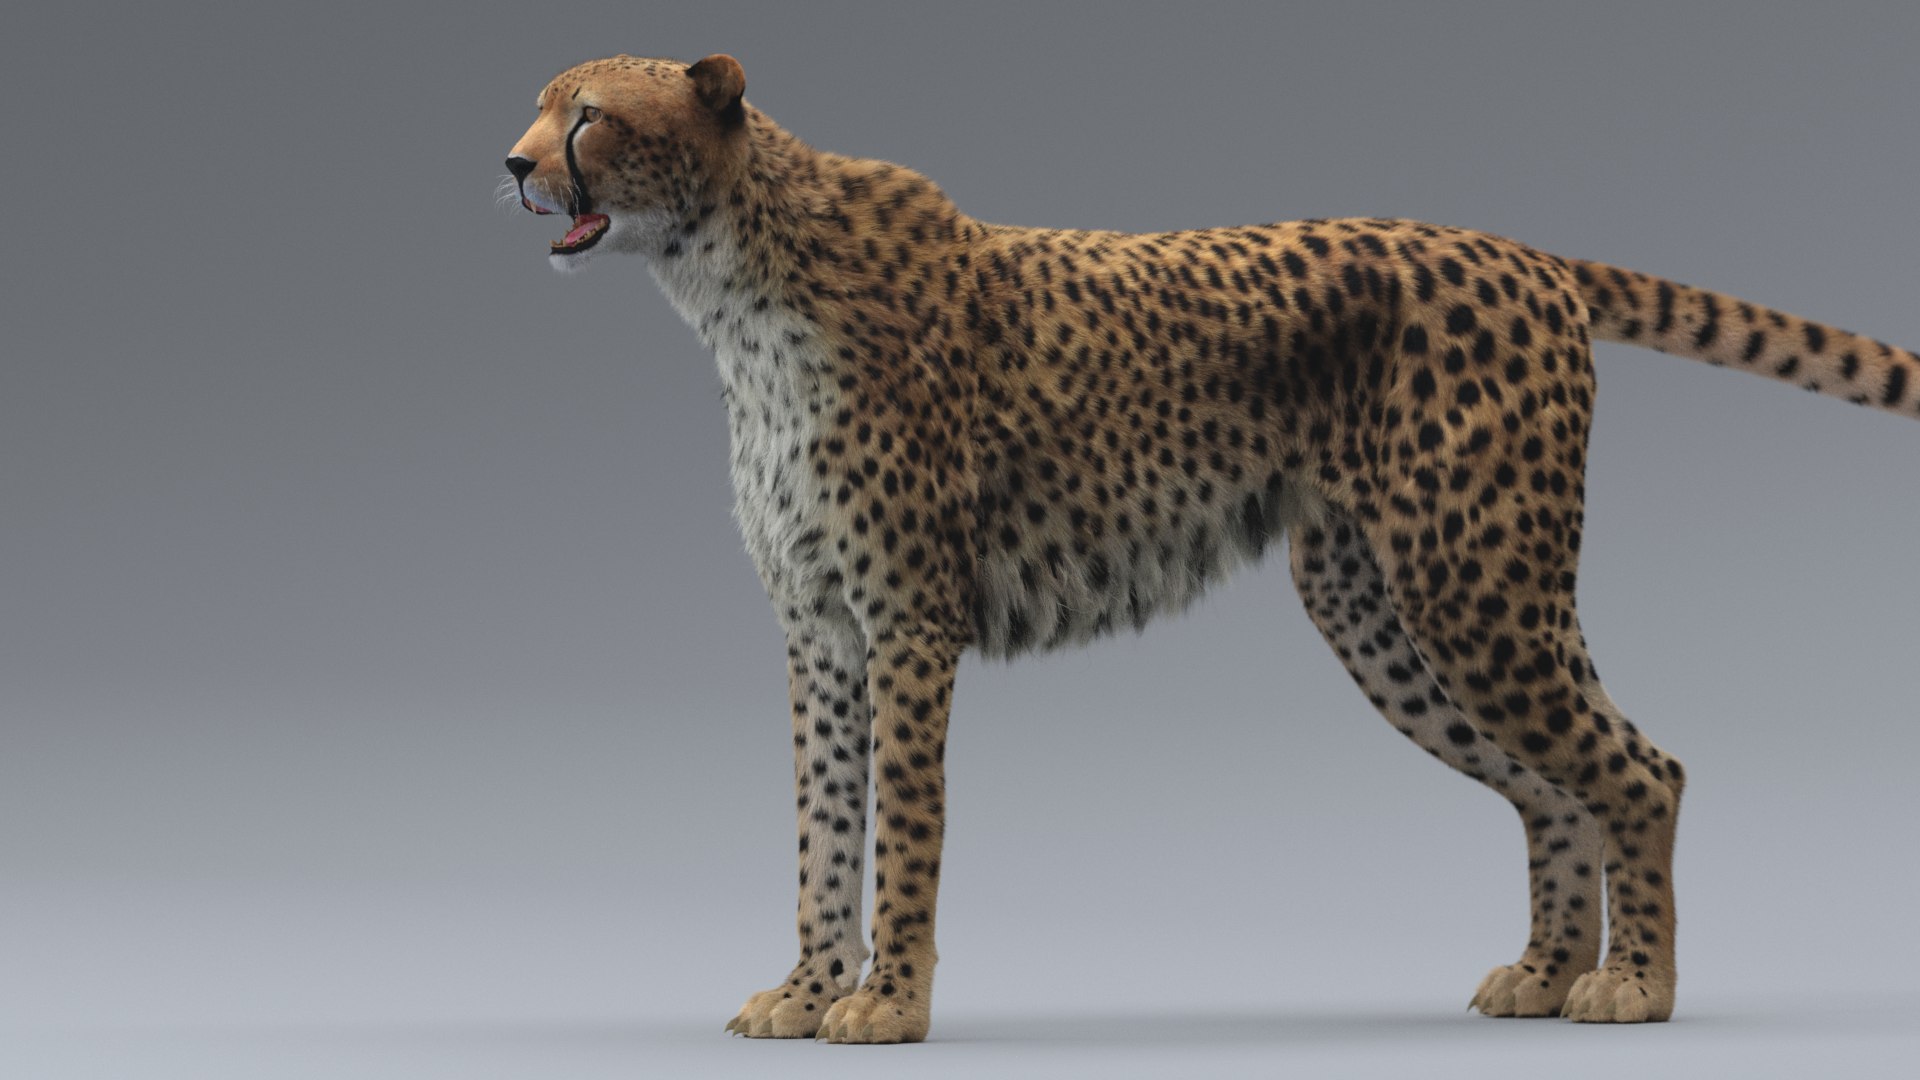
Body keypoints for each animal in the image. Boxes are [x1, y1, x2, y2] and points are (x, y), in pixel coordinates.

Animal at [502, 53, 1920, 1043]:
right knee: (1553, 785)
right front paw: (805, 993)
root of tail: (1517, 251)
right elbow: (821, 829)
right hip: (1383, 609)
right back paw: (1545, 971)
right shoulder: (819, 629)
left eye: (591, 119)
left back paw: (1636, 985)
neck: (732, 280)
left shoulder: (907, 620)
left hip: (1474, 581)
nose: (509, 166)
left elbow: (901, 826)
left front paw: (888, 1005)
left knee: (1640, 768)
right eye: (542, 106)